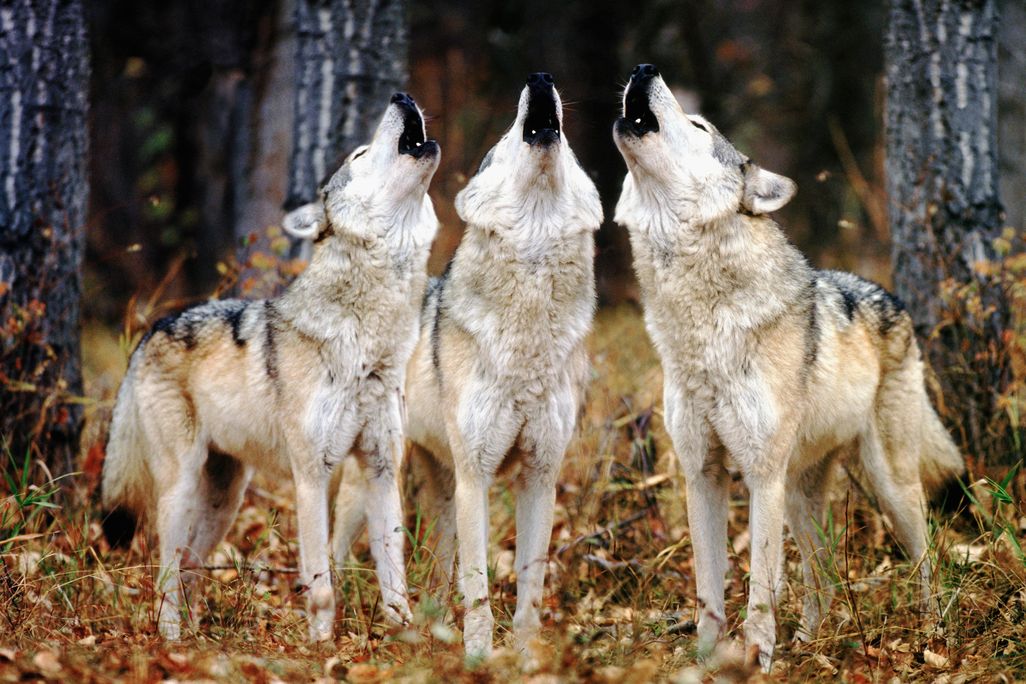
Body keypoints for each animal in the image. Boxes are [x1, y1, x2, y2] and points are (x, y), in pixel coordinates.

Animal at [99, 92, 440, 642]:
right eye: (361, 153)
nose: (402, 96)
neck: (368, 342)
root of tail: (152, 330)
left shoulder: (381, 469)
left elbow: (395, 576)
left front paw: (406, 637)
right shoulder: (311, 475)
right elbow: (320, 580)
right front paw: (322, 646)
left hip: (226, 498)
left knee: (191, 565)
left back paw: (197, 636)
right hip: (180, 488)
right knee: (165, 570)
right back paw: (171, 639)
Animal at [332, 72, 602, 657]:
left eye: (569, 145)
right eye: (500, 142)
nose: (541, 78)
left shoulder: (540, 477)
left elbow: (529, 583)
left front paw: (524, 655)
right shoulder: (476, 478)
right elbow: (478, 583)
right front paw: (480, 655)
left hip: (442, 490)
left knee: (436, 569)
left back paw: (430, 627)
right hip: (379, 480)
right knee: (342, 551)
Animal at [612, 64, 964, 670]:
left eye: (699, 124)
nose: (643, 69)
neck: (700, 326)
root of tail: (892, 298)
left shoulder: (761, 476)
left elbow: (759, 584)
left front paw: (754, 659)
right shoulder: (701, 475)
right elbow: (709, 589)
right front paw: (707, 660)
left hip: (886, 484)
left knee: (926, 556)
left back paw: (932, 635)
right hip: (801, 497)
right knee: (823, 577)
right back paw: (808, 642)